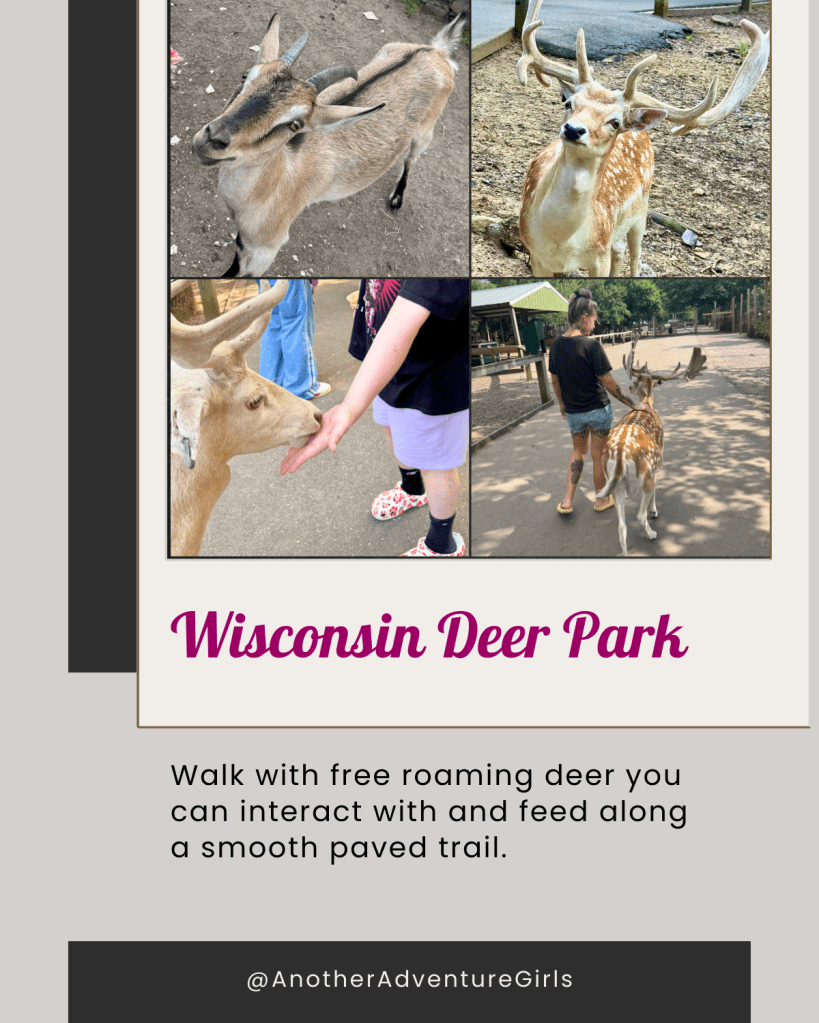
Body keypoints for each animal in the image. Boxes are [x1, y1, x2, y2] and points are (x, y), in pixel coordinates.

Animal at [191, 12, 465, 278]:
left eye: (296, 124)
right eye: (245, 76)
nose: (211, 139)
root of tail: (437, 51)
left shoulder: (266, 246)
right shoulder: (243, 239)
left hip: (425, 131)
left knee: (411, 158)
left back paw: (397, 198)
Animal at [516, 0, 770, 277]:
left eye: (615, 122)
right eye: (568, 103)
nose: (573, 129)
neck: (560, 240)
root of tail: (641, 131)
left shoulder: (599, 256)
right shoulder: (535, 254)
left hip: (642, 211)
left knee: (635, 256)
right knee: (619, 250)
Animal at [596, 348, 706, 556]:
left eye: (637, 381)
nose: (630, 387)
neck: (647, 404)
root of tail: (620, 454)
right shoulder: (658, 464)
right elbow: (656, 490)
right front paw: (654, 511)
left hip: (615, 485)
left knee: (621, 527)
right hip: (646, 474)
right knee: (640, 515)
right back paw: (652, 534)